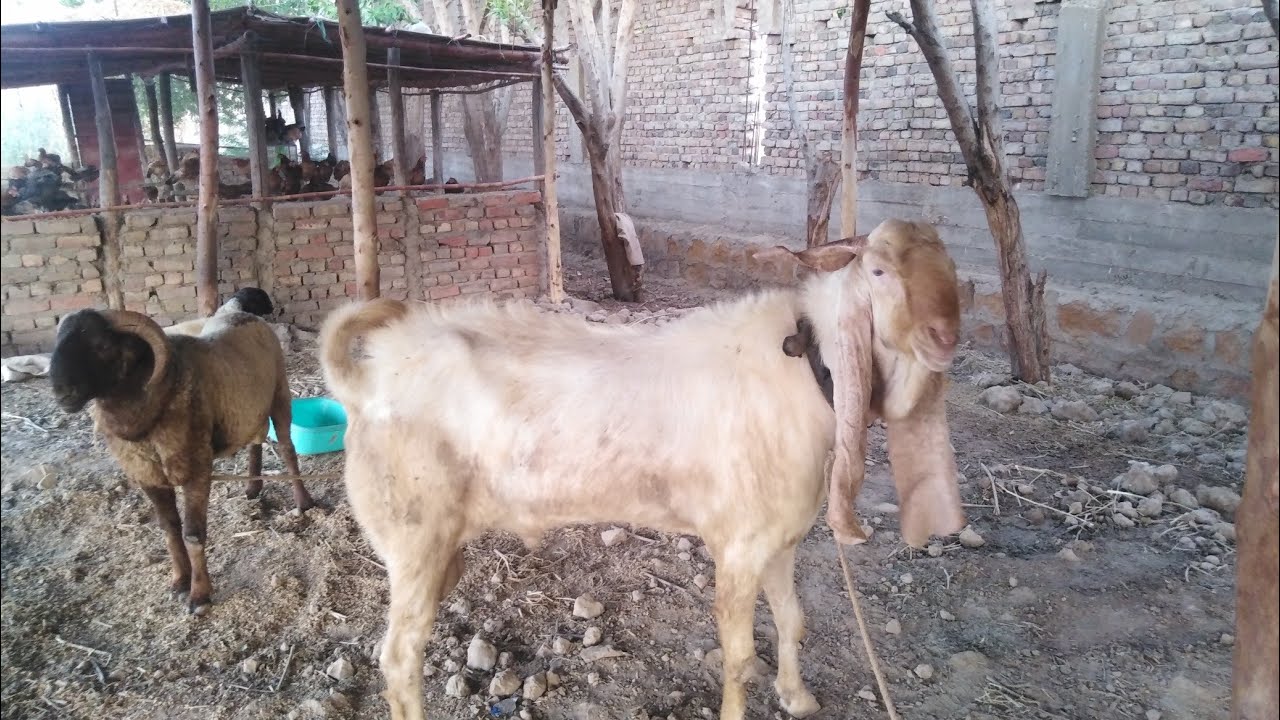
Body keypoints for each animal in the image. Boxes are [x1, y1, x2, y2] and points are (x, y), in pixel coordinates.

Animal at [48, 307, 315, 614]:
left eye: (102, 346)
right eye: (57, 342)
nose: (61, 393)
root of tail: (245, 313)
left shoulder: (196, 472)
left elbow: (192, 535)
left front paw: (199, 596)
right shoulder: (148, 478)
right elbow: (169, 530)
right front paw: (179, 581)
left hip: (280, 396)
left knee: (286, 449)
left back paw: (303, 501)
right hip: (249, 410)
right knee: (254, 441)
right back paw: (252, 488)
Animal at [318, 218, 966, 720]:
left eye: (951, 269)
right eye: (878, 272)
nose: (944, 337)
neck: (805, 367)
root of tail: (367, 378)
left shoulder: (779, 539)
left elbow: (792, 620)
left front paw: (797, 696)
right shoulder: (737, 546)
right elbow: (737, 655)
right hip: (412, 537)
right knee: (399, 657)